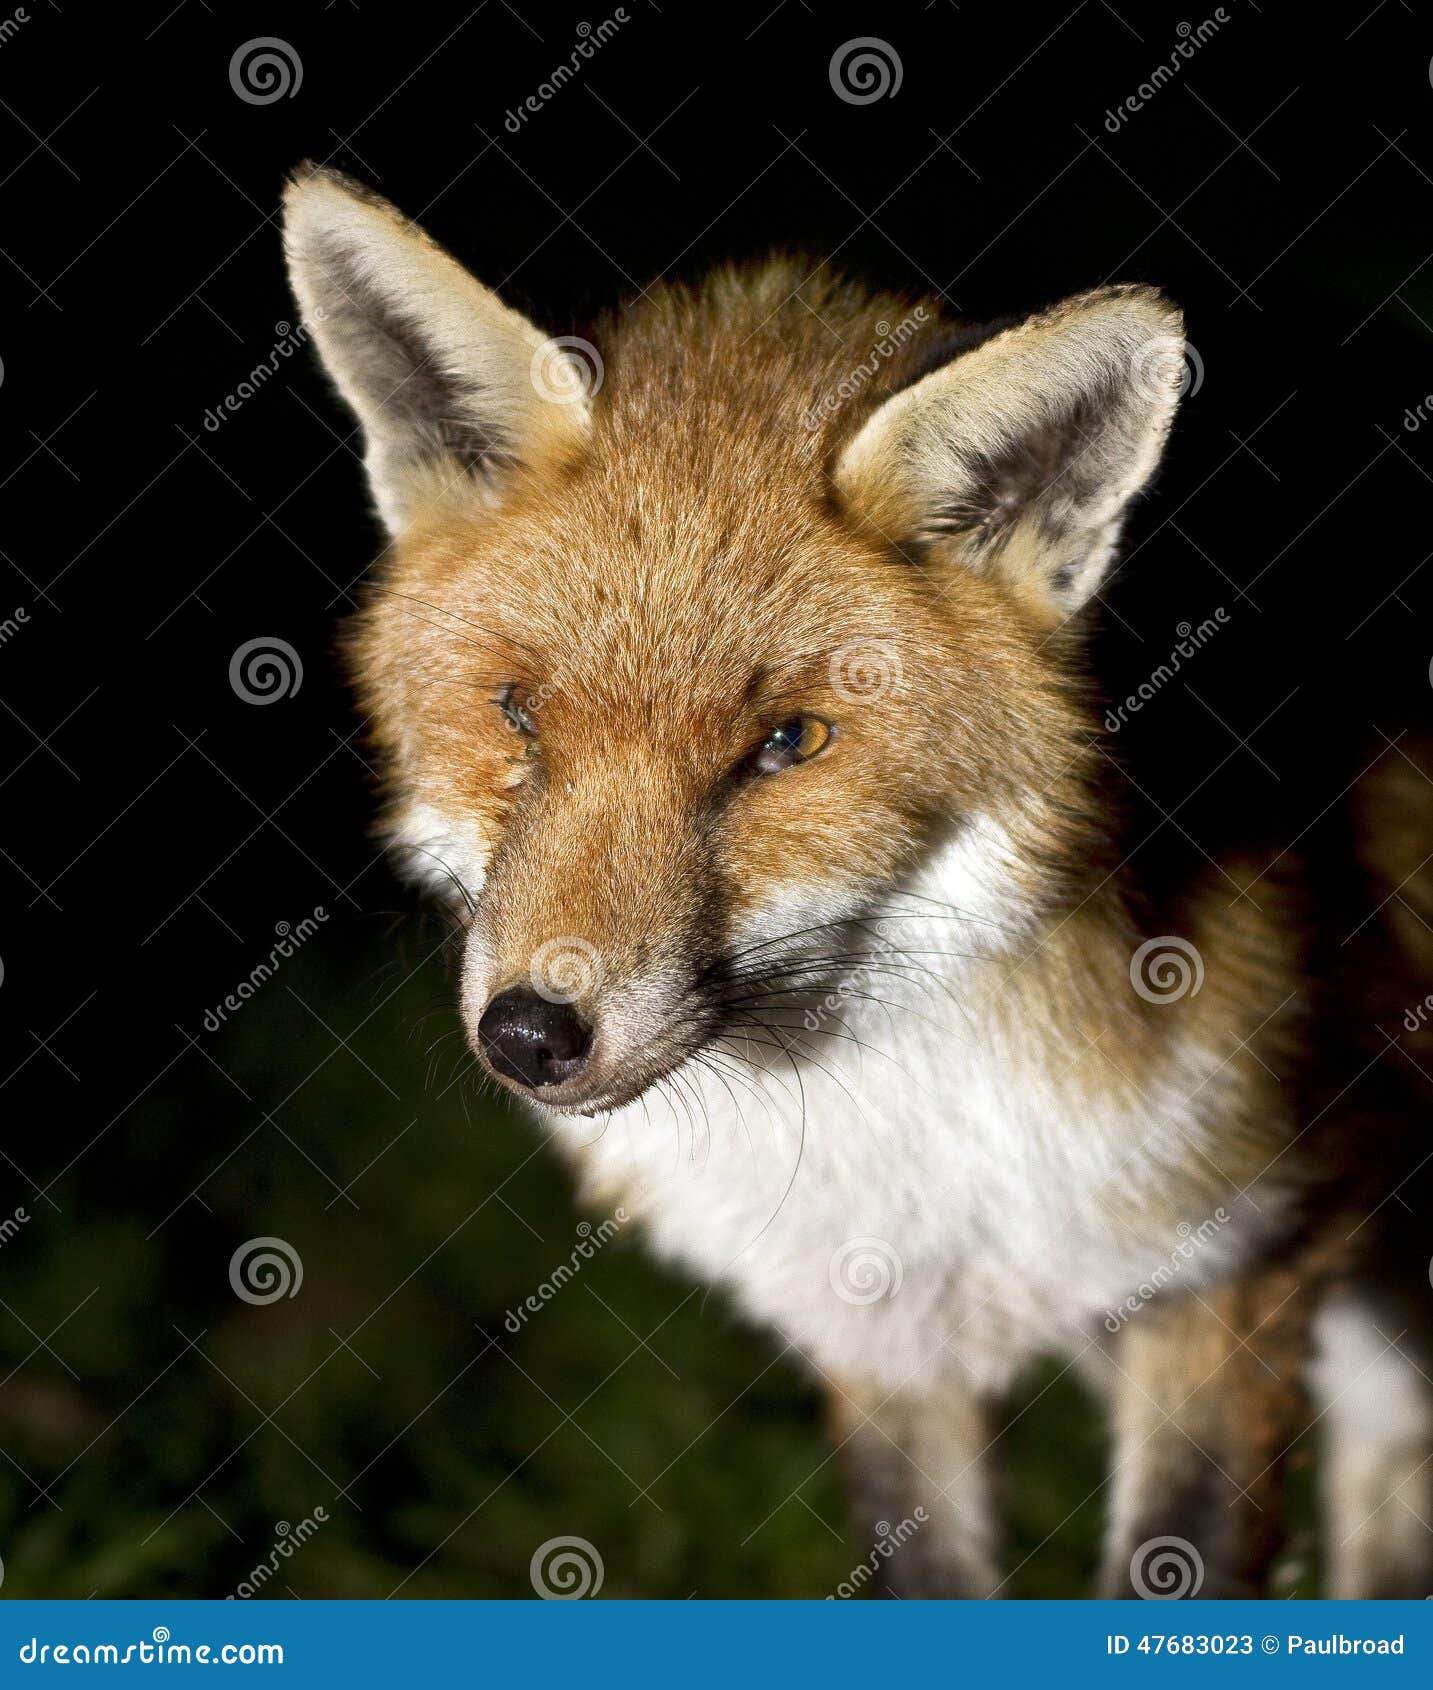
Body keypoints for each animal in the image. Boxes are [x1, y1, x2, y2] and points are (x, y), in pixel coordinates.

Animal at [282, 162, 1433, 1599]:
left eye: (786, 745)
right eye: (518, 716)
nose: (532, 1034)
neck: (901, 1135)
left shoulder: (1232, 1265)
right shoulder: (882, 1333)